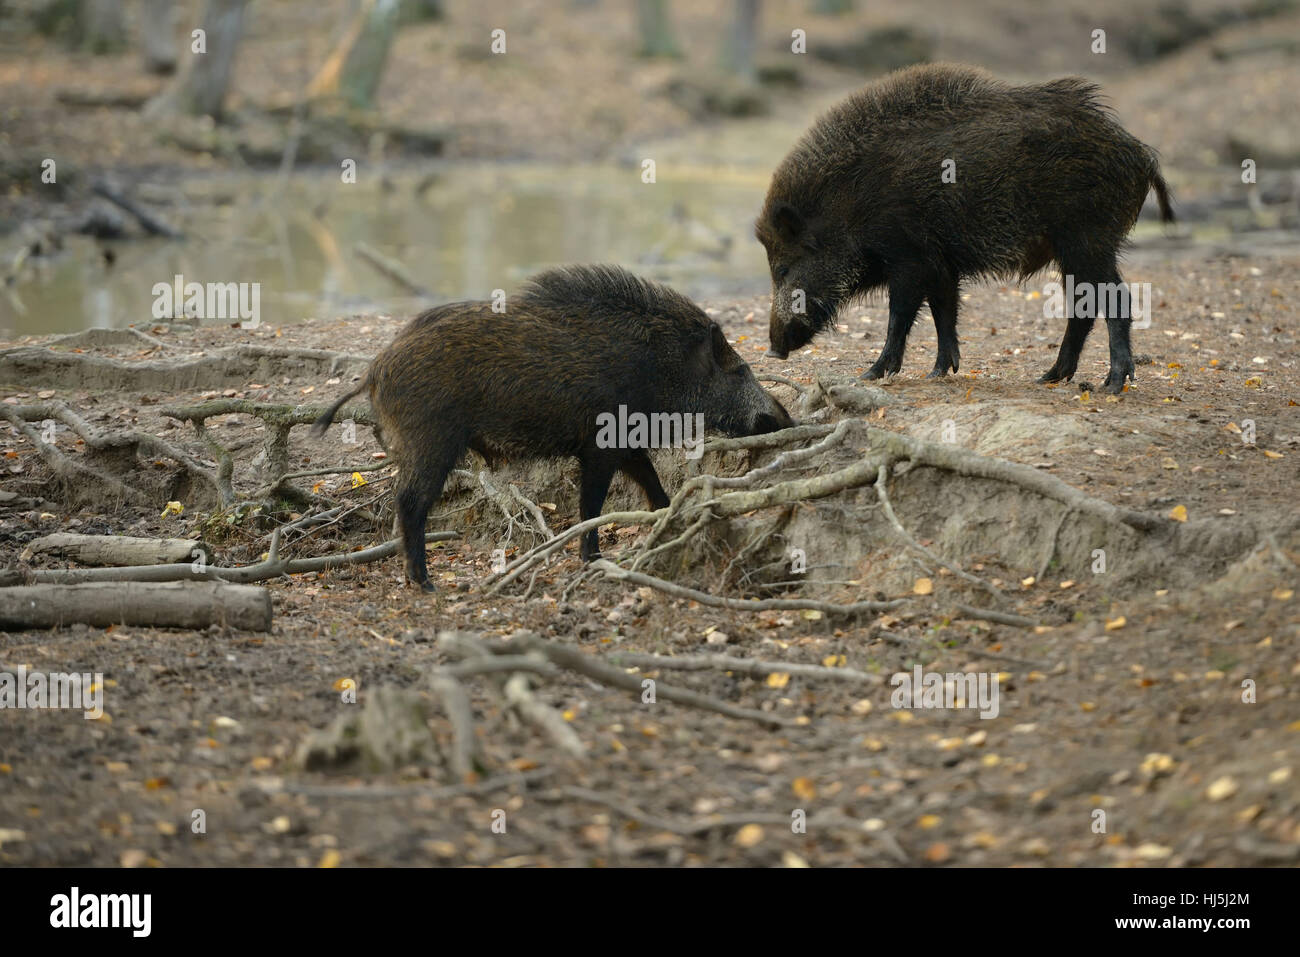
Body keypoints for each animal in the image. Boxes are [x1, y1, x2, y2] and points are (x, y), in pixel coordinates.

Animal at [311, 264, 795, 590]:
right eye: (740, 370)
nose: (788, 418)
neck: (660, 367)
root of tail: (375, 370)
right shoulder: (601, 444)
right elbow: (592, 504)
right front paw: (591, 558)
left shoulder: (625, 442)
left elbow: (651, 482)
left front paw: (667, 518)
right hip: (432, 443)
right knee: (410, 503)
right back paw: (424, 583)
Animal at [756, 63, 1175, 393]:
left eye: (783, 267)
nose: (773, 349)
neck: (848, 205)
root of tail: (1139, 153)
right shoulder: (940, 262)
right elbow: (944, 310)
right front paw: (940, 372)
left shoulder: (910, 257)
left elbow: (900, 315)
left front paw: (871, 374)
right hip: (1074, 249)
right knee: (1083, 307)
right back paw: (1049, 377)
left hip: (1087, 239)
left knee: (1115, 300)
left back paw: (1113, 384)